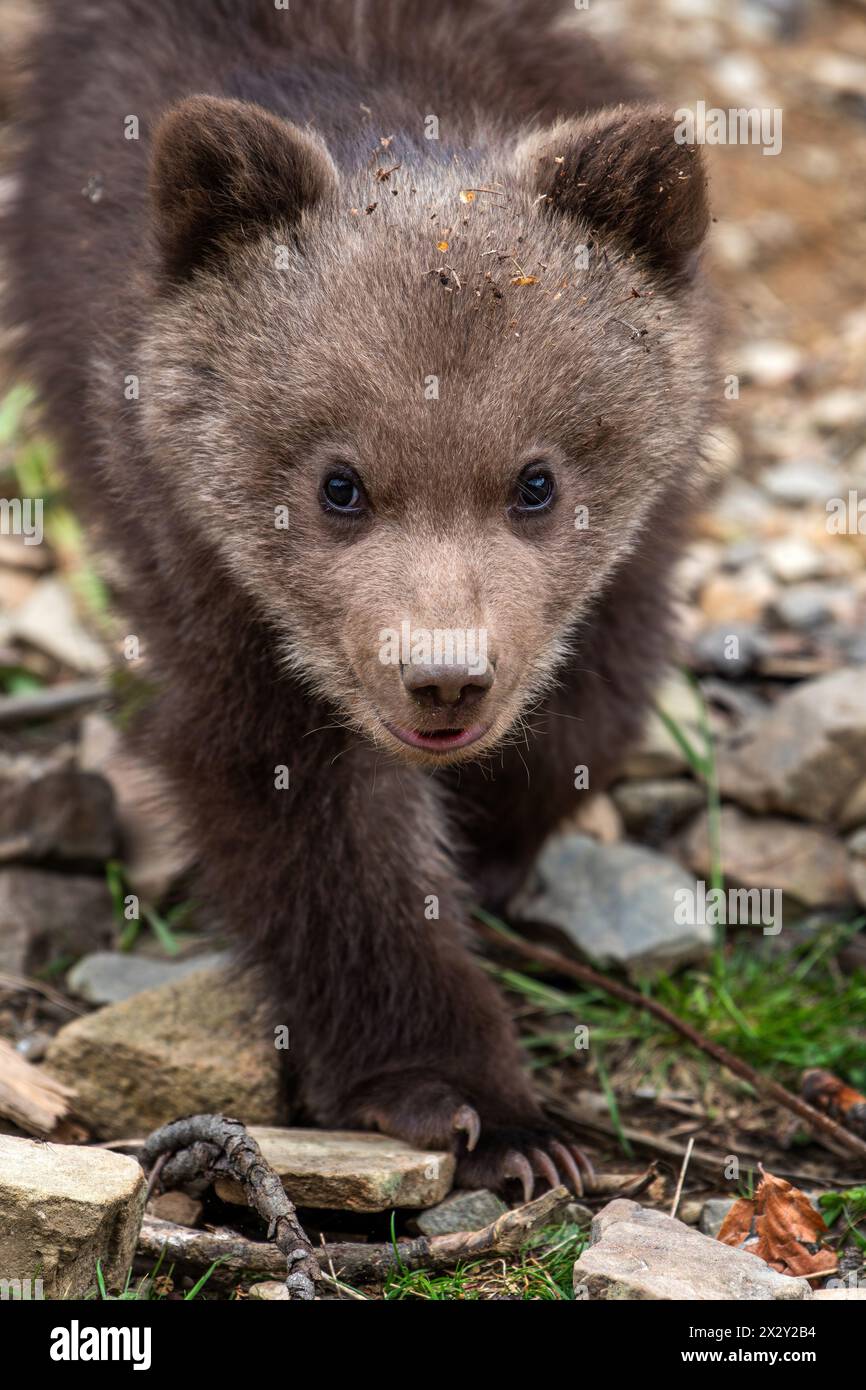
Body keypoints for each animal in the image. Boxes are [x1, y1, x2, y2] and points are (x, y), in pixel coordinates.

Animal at [3, 0, 715, 1197]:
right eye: (340, 483)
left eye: (536, 481)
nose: (443, 679)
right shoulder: (220, 578)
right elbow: (309, 820)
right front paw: (478, 1105)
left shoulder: (631, 550)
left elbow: (595, 689)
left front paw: (501, 834)